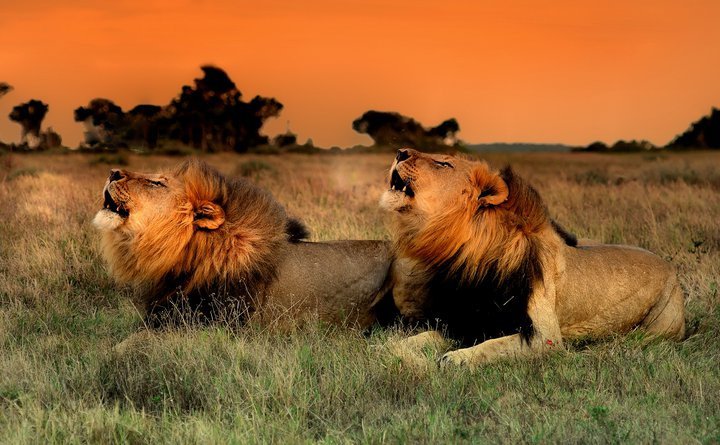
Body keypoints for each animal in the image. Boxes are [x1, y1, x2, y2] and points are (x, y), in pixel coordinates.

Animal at [381, 148, 686, 367]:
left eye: (444, 164)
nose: (400, 152)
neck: (472, 254)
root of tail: (670, 266)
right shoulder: (466, 318)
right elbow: (423, 336)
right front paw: (390, 346)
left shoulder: (545, 337)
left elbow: (493, 345)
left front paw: (457, 357)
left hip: (658, 327)